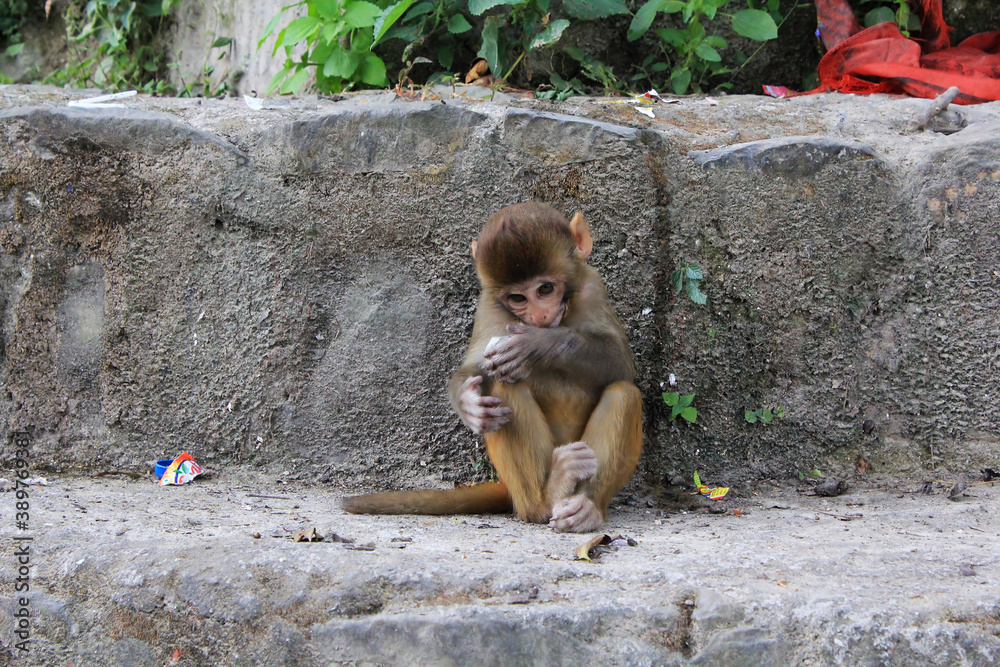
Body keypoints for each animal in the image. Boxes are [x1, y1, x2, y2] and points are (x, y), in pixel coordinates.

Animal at [342, 202, 642, 533]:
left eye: (545, 289)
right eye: (518, 297)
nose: (539, 317)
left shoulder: (593, 286)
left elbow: (620, 363)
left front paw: (534, 344)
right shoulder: (488, 304)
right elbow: (476, 368)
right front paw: (467, 402)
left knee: (624, 393)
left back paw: (586, 506)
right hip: (521, 482)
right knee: (503, 385)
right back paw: (547, 496)